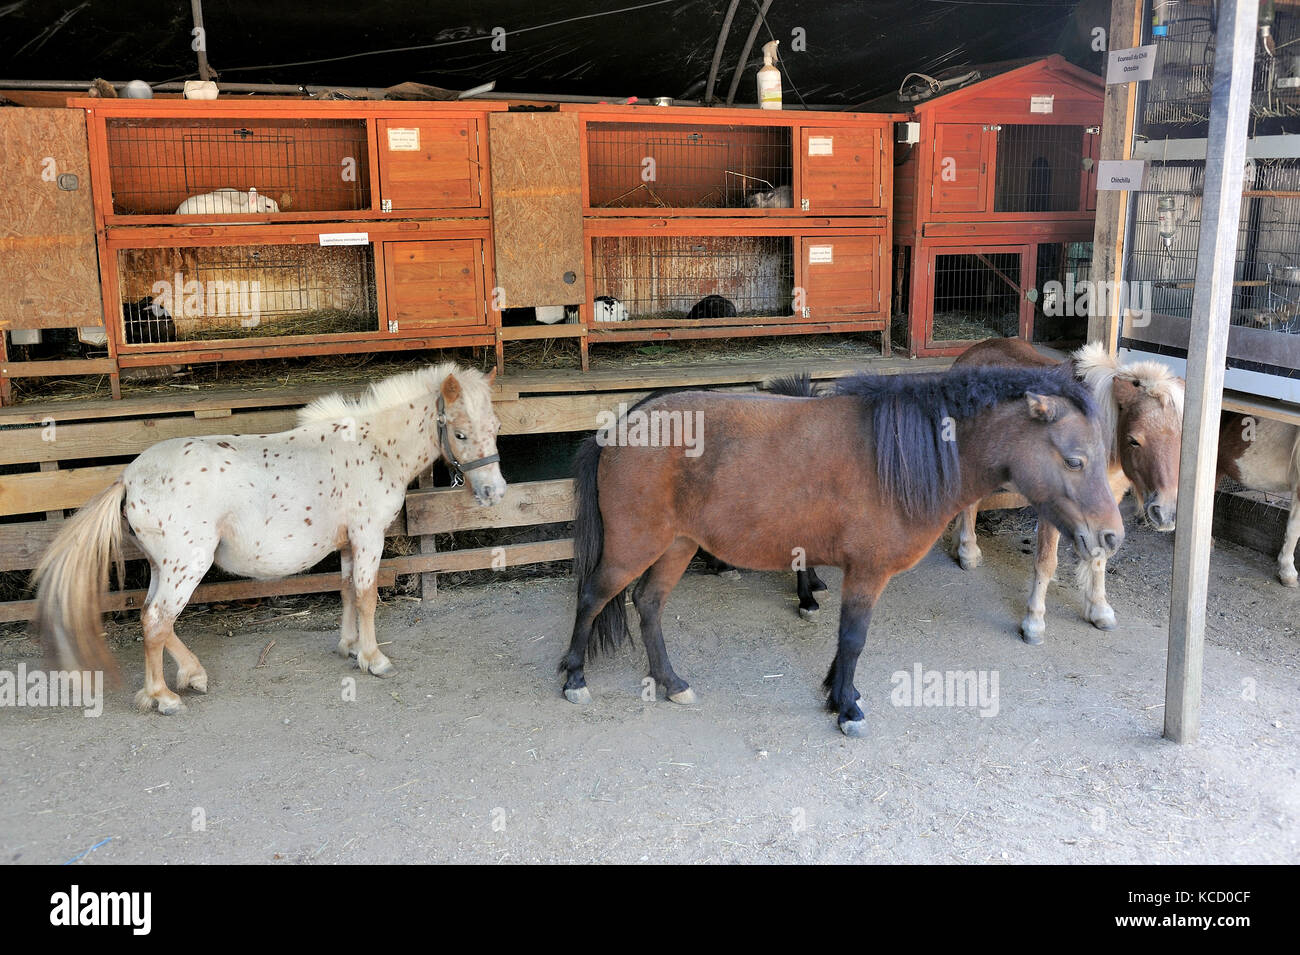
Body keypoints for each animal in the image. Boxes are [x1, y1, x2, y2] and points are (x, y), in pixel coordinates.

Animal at [32, 363, 506, 714]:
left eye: (497, 426)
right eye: (460, 433)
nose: (494, 492)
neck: (372, 448)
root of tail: (129, 478)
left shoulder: (347, 543)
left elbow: (346, 590)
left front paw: (350, 647)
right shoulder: (368, 536)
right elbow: (367, 595)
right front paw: (373, 659)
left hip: (161, 567)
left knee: (154, 618)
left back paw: (191, 674)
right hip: (187, 565)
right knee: (156, 621)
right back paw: (163, 697)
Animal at [557, 366, 1123, 736]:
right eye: (1074, 459)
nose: (1111, 537)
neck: (896, 459)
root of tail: (620, 426)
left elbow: (845, 642)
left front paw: (837, 693)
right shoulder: (867, 573)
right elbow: (853, 639)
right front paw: (847, 708)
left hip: (676, 545)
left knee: (648, 604)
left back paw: (670, 682)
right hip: (633, 547)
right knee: (591, 598)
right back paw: (575, 679)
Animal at [951, 338, 1184, 644]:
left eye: (1181, 440)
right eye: (1134, 440)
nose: (1165, 513)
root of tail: (972, 350)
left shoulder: (1105, 507)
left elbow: (1099, 554)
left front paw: (1099, 610)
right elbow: (1046, 561)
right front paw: (1034, 623)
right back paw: (967, 552)